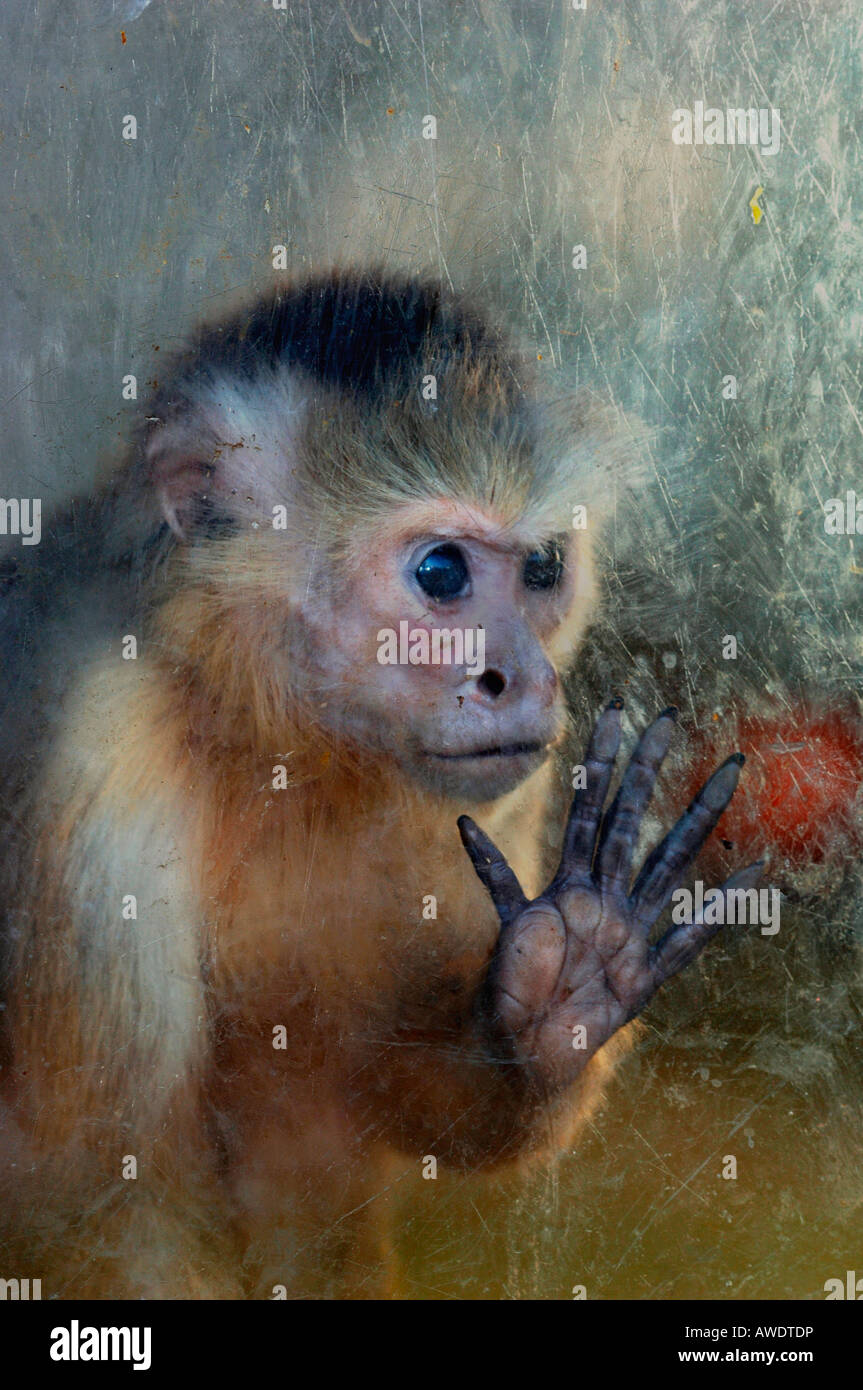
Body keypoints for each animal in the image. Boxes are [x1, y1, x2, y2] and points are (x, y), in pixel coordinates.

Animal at [0, 268, 760, 1300]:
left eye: (542, 568)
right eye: (440, 572)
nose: (522, 677)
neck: (272, 742)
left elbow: (395, 1094)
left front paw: (570, 984)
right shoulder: (91, 742)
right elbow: (98, 1196)